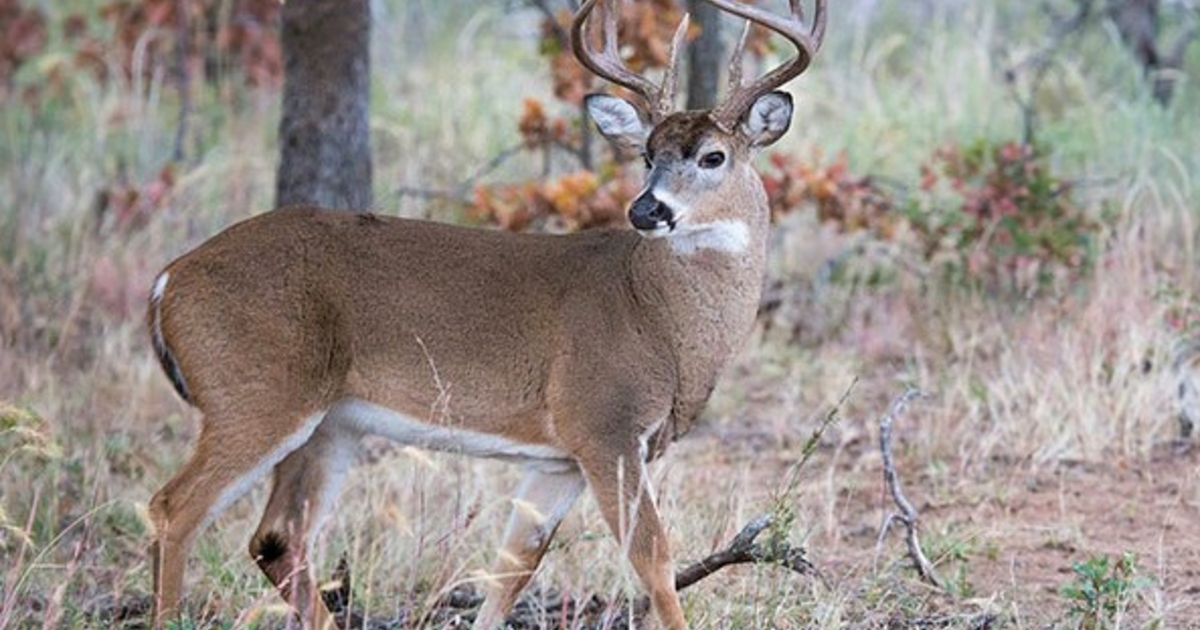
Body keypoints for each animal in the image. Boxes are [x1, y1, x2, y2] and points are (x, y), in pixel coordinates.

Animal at [144, 0, 825, 628]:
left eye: (713, 156)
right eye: (648, 154)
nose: (645, 209)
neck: (658, 318)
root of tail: (167, 280)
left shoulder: (559, 459)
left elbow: (511, 571)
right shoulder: (603, 423)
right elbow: (654, 560)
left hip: (332, 424)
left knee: (277, 538)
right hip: (256, 394)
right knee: (174, 508)